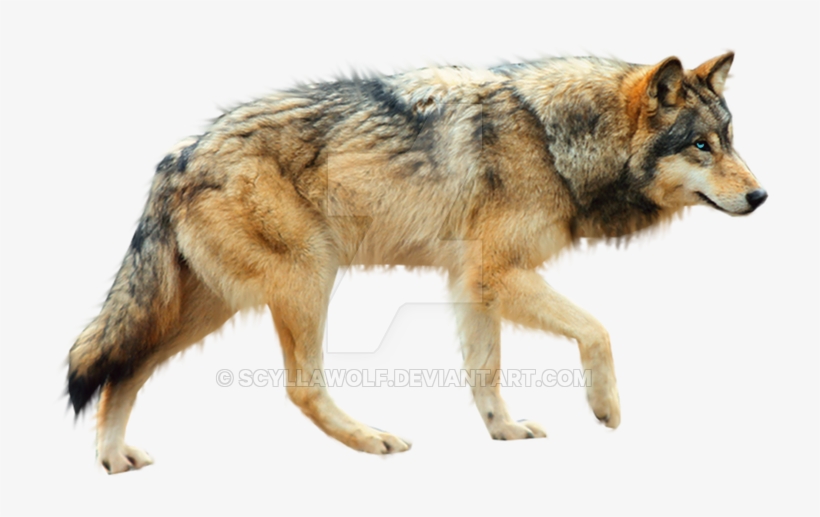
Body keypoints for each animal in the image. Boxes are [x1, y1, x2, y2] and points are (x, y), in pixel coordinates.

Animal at [67, 52, 766, 473]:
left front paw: (504, 432)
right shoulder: (494, 274)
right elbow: (598, 329)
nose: (762, 197)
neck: (554, 140)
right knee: (299, 388)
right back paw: (373, 439)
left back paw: (112, 460)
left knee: (124, 369)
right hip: (307, 280)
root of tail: (178, 156)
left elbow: (485, 374)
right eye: (701, 146)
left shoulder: (472, 285)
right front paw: (605, 409)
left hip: (206, 308)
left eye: (731, 141)